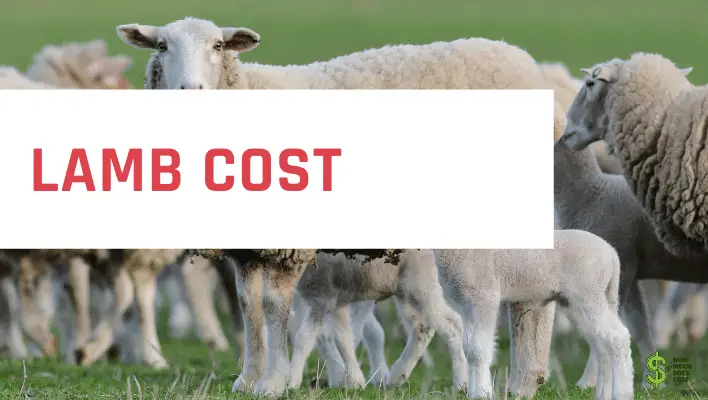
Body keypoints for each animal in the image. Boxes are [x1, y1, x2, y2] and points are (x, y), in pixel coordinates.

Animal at [287, 250, 466, 391]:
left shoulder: (324, 296)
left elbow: (304, 338)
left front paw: (292, 382)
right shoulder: (337, 302)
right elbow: (343, 338)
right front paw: (353, 380)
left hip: (420, 283)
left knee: (452, 324)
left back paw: (461, 383)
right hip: (406, 292)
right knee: (422, 328)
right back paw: (397, 376)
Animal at [435, 229, 634, 400]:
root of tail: (611, 254)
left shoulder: (484, 298)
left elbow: (478, 349)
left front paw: (482, 394)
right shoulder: (465, 304)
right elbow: (468, 348)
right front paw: (474, 392)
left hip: (588, 292)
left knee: (618, 337)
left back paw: (623, 393)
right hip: (581, 301)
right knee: (602, 345)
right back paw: (603, 394)